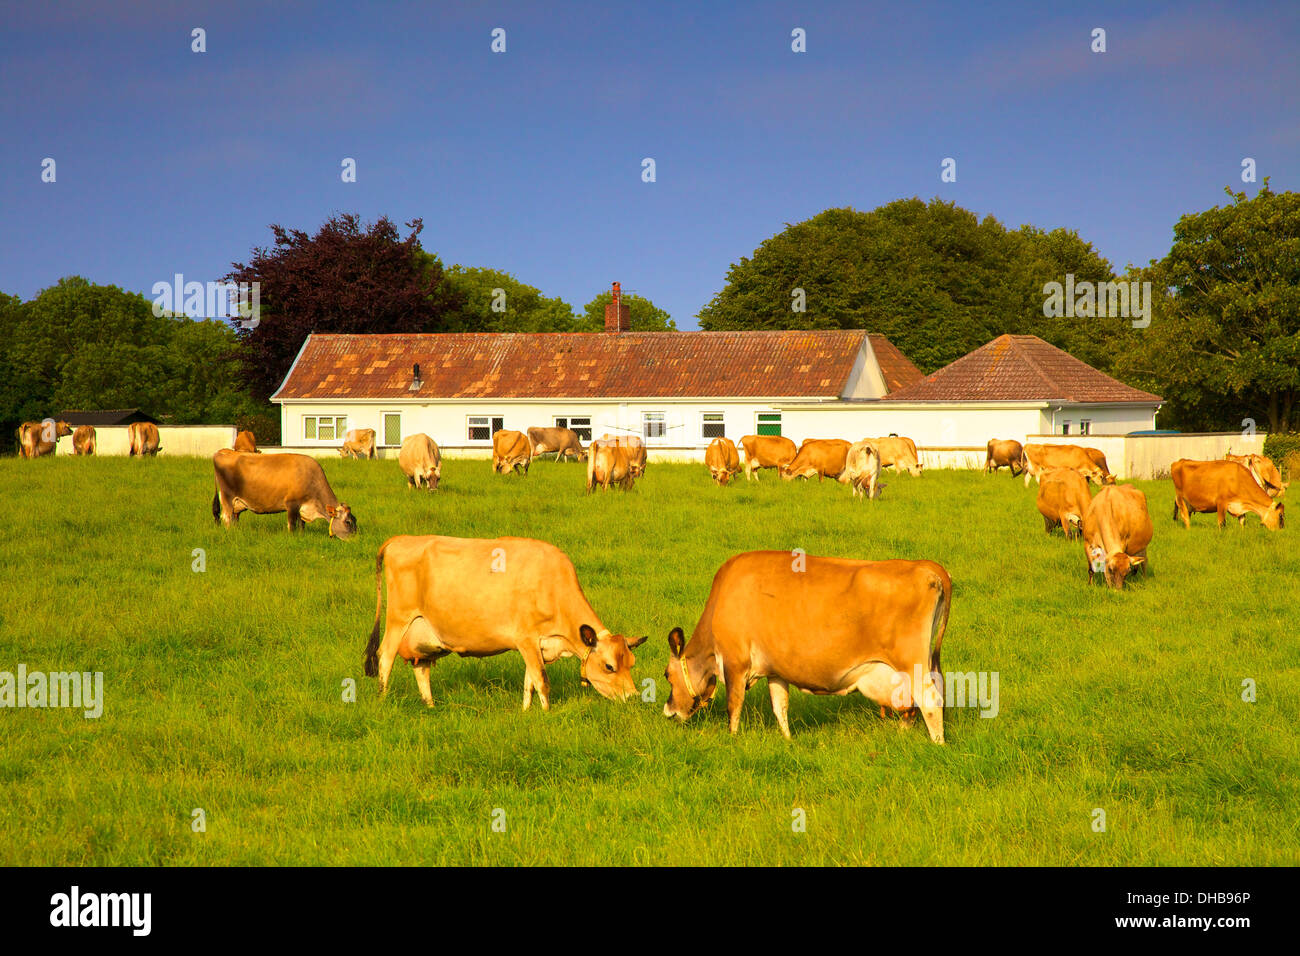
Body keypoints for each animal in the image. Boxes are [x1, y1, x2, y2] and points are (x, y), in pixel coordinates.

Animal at [212, 448, 357, 538]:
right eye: (348, 522)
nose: (355, 538)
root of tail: (223, 451)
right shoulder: (292, 504)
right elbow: (292, 525)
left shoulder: (302, 508)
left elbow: (301, 525)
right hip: (227, 497)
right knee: (226, 517)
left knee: (234, 517)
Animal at [362, 534, 648, 710]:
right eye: (610, 666)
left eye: (632, 663)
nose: (634, 697)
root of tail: (401, 539)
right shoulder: (526, 638)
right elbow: (542, 681)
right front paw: (547, 714)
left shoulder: (536, 645)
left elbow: (529, 681)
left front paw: (526, 712)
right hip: (399, 618)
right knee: (385, 657)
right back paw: (382, 699)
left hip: (423, 634)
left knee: (421, 668)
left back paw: (430, 706)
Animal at [661, 551, 951, 743]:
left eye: (667, 675)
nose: (668, 711)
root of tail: (926, 566)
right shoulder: (775, 670)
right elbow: (780, 706)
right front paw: (788, 740)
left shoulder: (735, 662)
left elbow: (734, 706)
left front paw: (732, 739)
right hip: (927, 663)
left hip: (912, 663)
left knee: (929, 701)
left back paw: (937, 744)